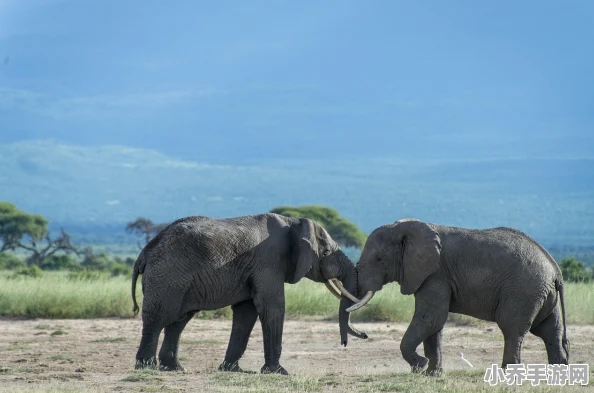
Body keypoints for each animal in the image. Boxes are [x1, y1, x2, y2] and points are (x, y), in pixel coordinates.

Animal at [130, 213, 366, 376]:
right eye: (325, 252)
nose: (363, 336)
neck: (293, 221)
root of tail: (145, 253)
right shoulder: (268, 262)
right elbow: (272, 307)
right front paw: (279, 372)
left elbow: (246, 312)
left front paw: (231, 370)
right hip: (167, 277)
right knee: (158, 319)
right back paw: (146, 368)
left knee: (178, 321)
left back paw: (175, 368)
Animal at [344, 217, 568, 374]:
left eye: (379, 259)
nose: (364, 335)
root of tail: (555, 270)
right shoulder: (431, 276)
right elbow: (434, 324)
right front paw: (432, 374)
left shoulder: (436, 274)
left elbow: (431, 318)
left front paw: (420, 366)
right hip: (541, 294)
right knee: (550, 331)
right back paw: (558, 376)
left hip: (523, 291)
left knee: (512, 330)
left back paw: (507, 376)